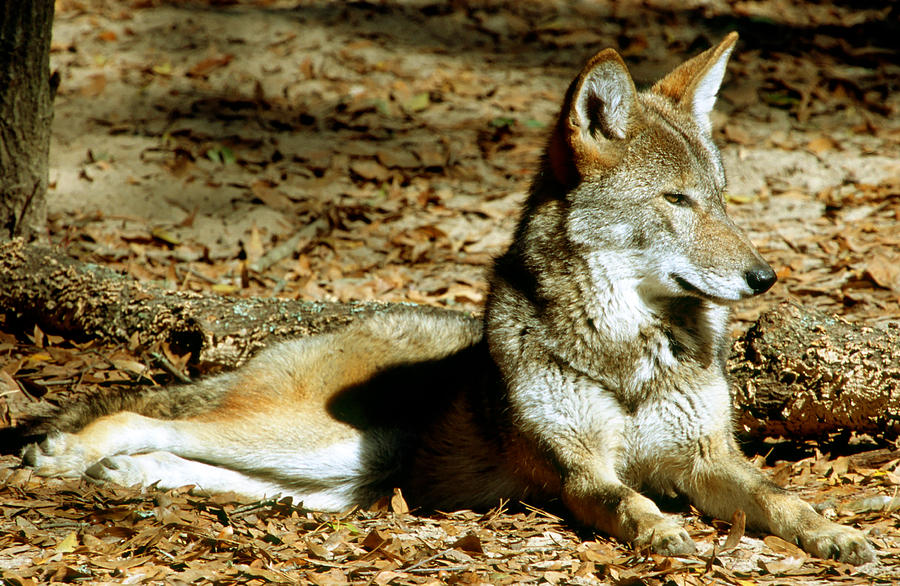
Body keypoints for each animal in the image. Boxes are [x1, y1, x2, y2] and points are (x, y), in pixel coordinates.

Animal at [21, 33, 874, 563]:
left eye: (721, 200)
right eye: (677, 201)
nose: (765, 279)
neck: (631, 354)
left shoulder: (709, 461)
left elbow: (783, 502)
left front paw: (836, 535)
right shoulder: (577, 468)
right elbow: (627, 503)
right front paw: (664, 532)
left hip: (347, 478)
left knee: (185, 456)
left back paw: (127, 476)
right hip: (310, 439)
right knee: (147, 417)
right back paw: (68, 455)